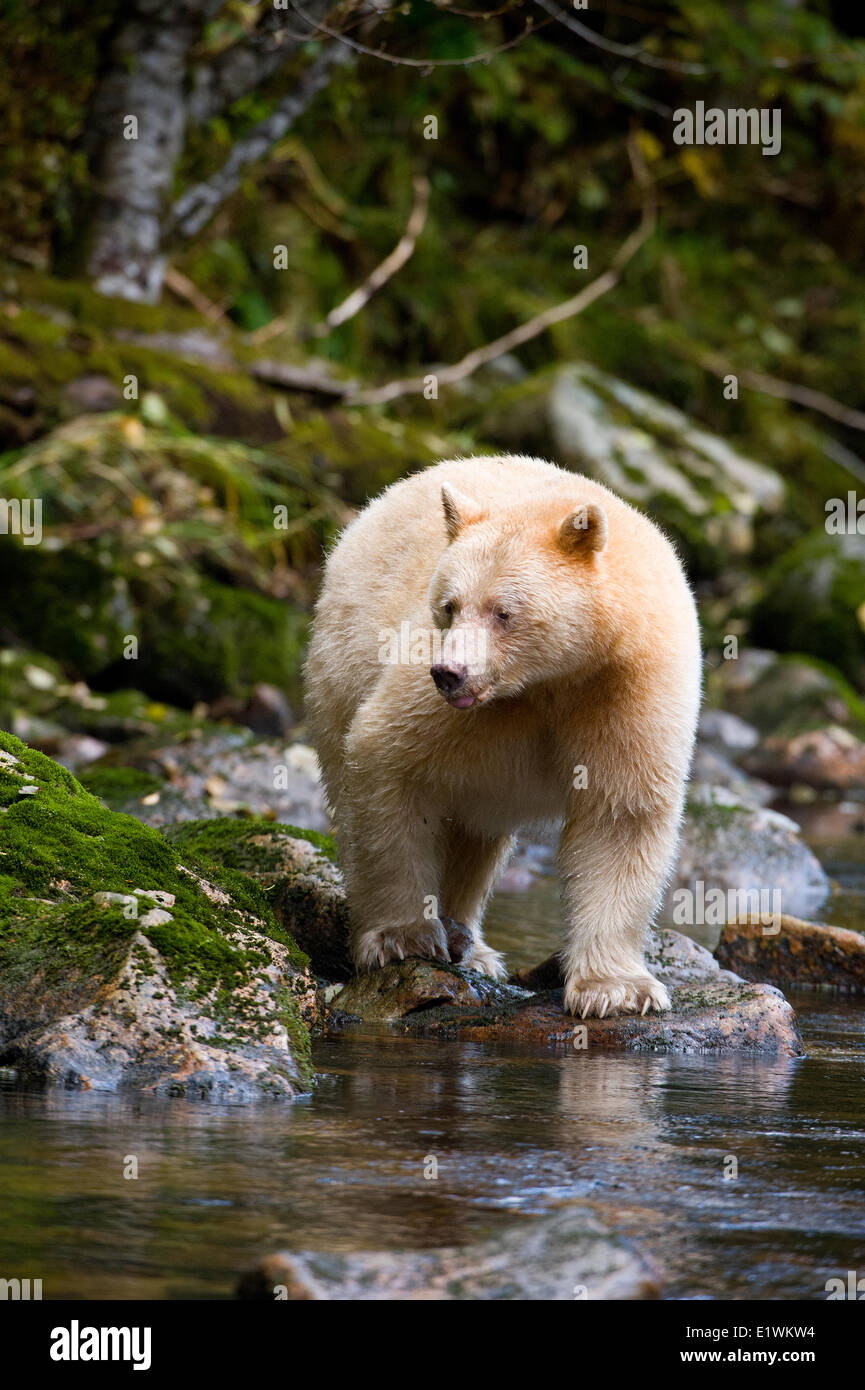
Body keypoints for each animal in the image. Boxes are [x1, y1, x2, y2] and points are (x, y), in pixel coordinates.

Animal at [305, 454, 701, 1018]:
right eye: (449, 605)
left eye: (504, 612)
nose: (448, 673)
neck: (549, 683)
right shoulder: (451, 701)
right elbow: (386, 761)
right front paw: (401, 938)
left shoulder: (627, 690)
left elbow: (622, 815)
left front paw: (617, 990)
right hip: (341, 662)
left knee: (476, 837)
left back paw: (471, 943)